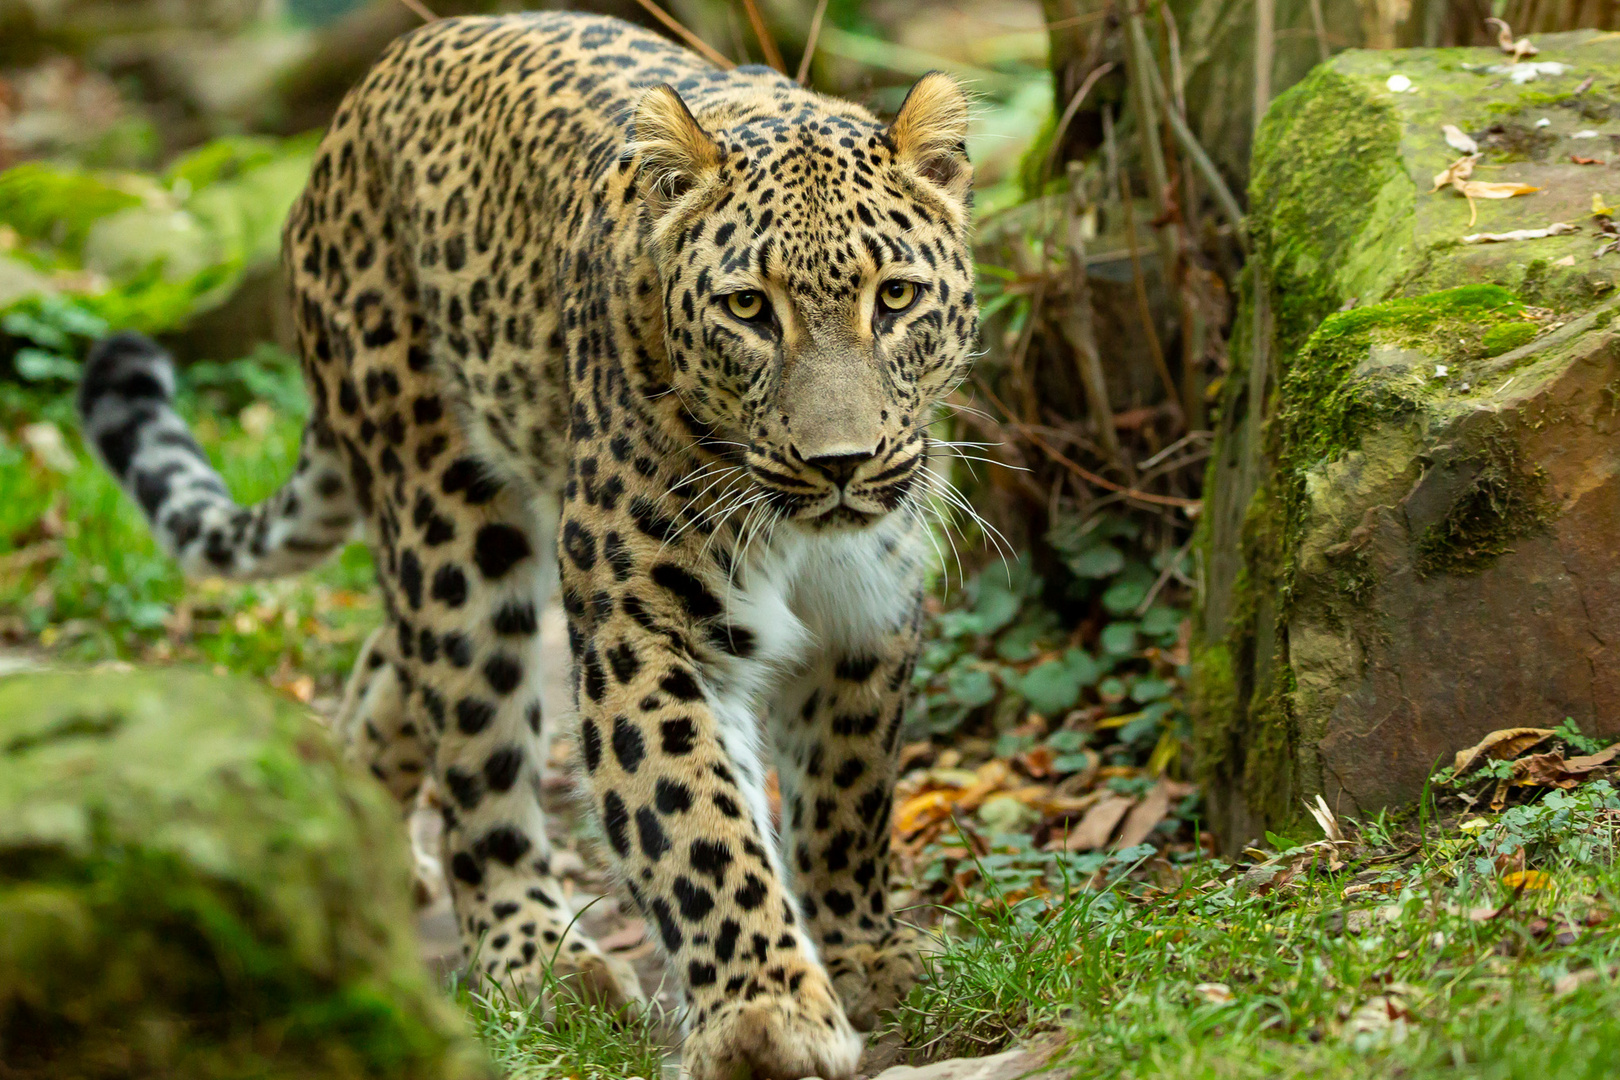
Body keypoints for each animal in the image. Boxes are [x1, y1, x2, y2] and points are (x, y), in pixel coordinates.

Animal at [77, 10, 978, 1078]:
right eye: (750, 309)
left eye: (897, 298)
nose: (839, 462)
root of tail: (354, 109)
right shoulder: (646, 633)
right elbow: (695, 824)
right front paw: (766, 1018)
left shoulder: (868, 615)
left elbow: (848, 795)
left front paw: (865, 953)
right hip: (447, 519)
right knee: (474, 750)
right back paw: (537, 961)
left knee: (392, 665)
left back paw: (352, 830)